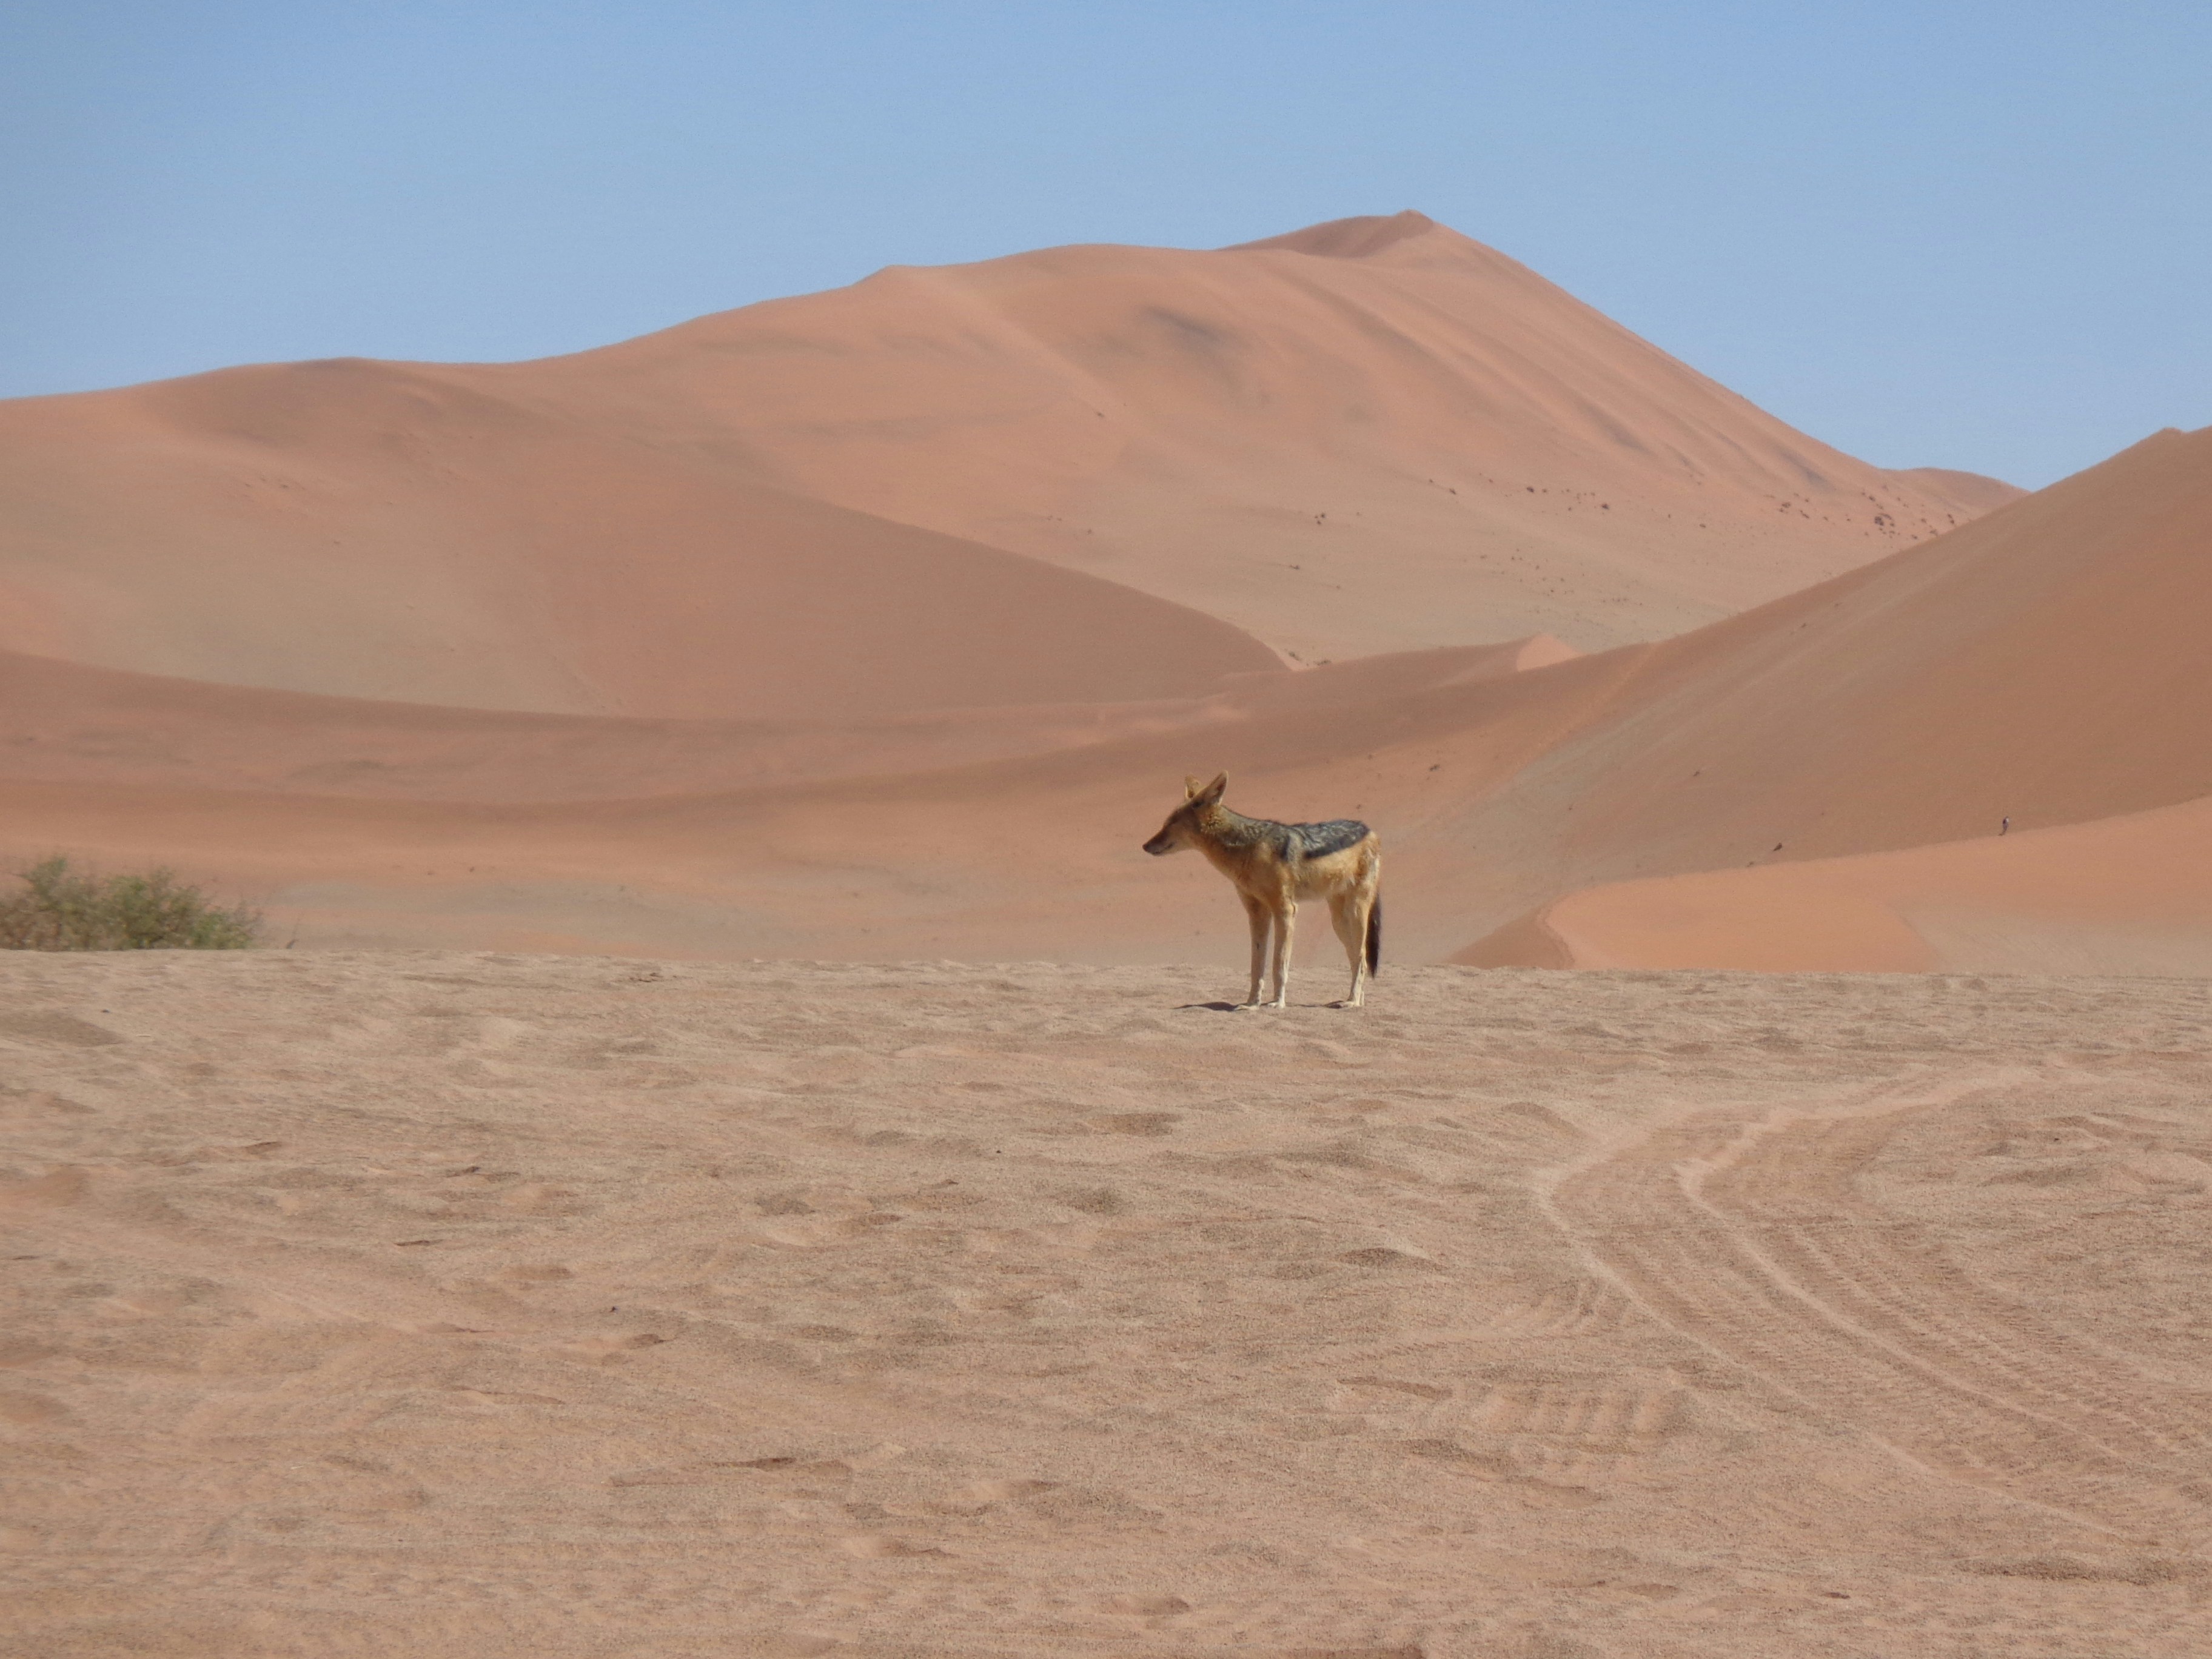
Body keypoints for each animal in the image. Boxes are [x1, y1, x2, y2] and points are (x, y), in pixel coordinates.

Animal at [1143, 772, 1381, 1009]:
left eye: (1171, 823)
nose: (1145, 846)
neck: (1247, 850)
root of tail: (1370, 830)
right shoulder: (1257, 913)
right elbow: (1257, 966)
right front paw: (1251, 1004)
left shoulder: (1285, 910)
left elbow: (1279, 964)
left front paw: (1277, 1003)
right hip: (1339, 923)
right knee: (1357, 958)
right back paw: (1357, 1001)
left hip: (1355, 915)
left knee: (1361, 958)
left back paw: (1352, 1002)